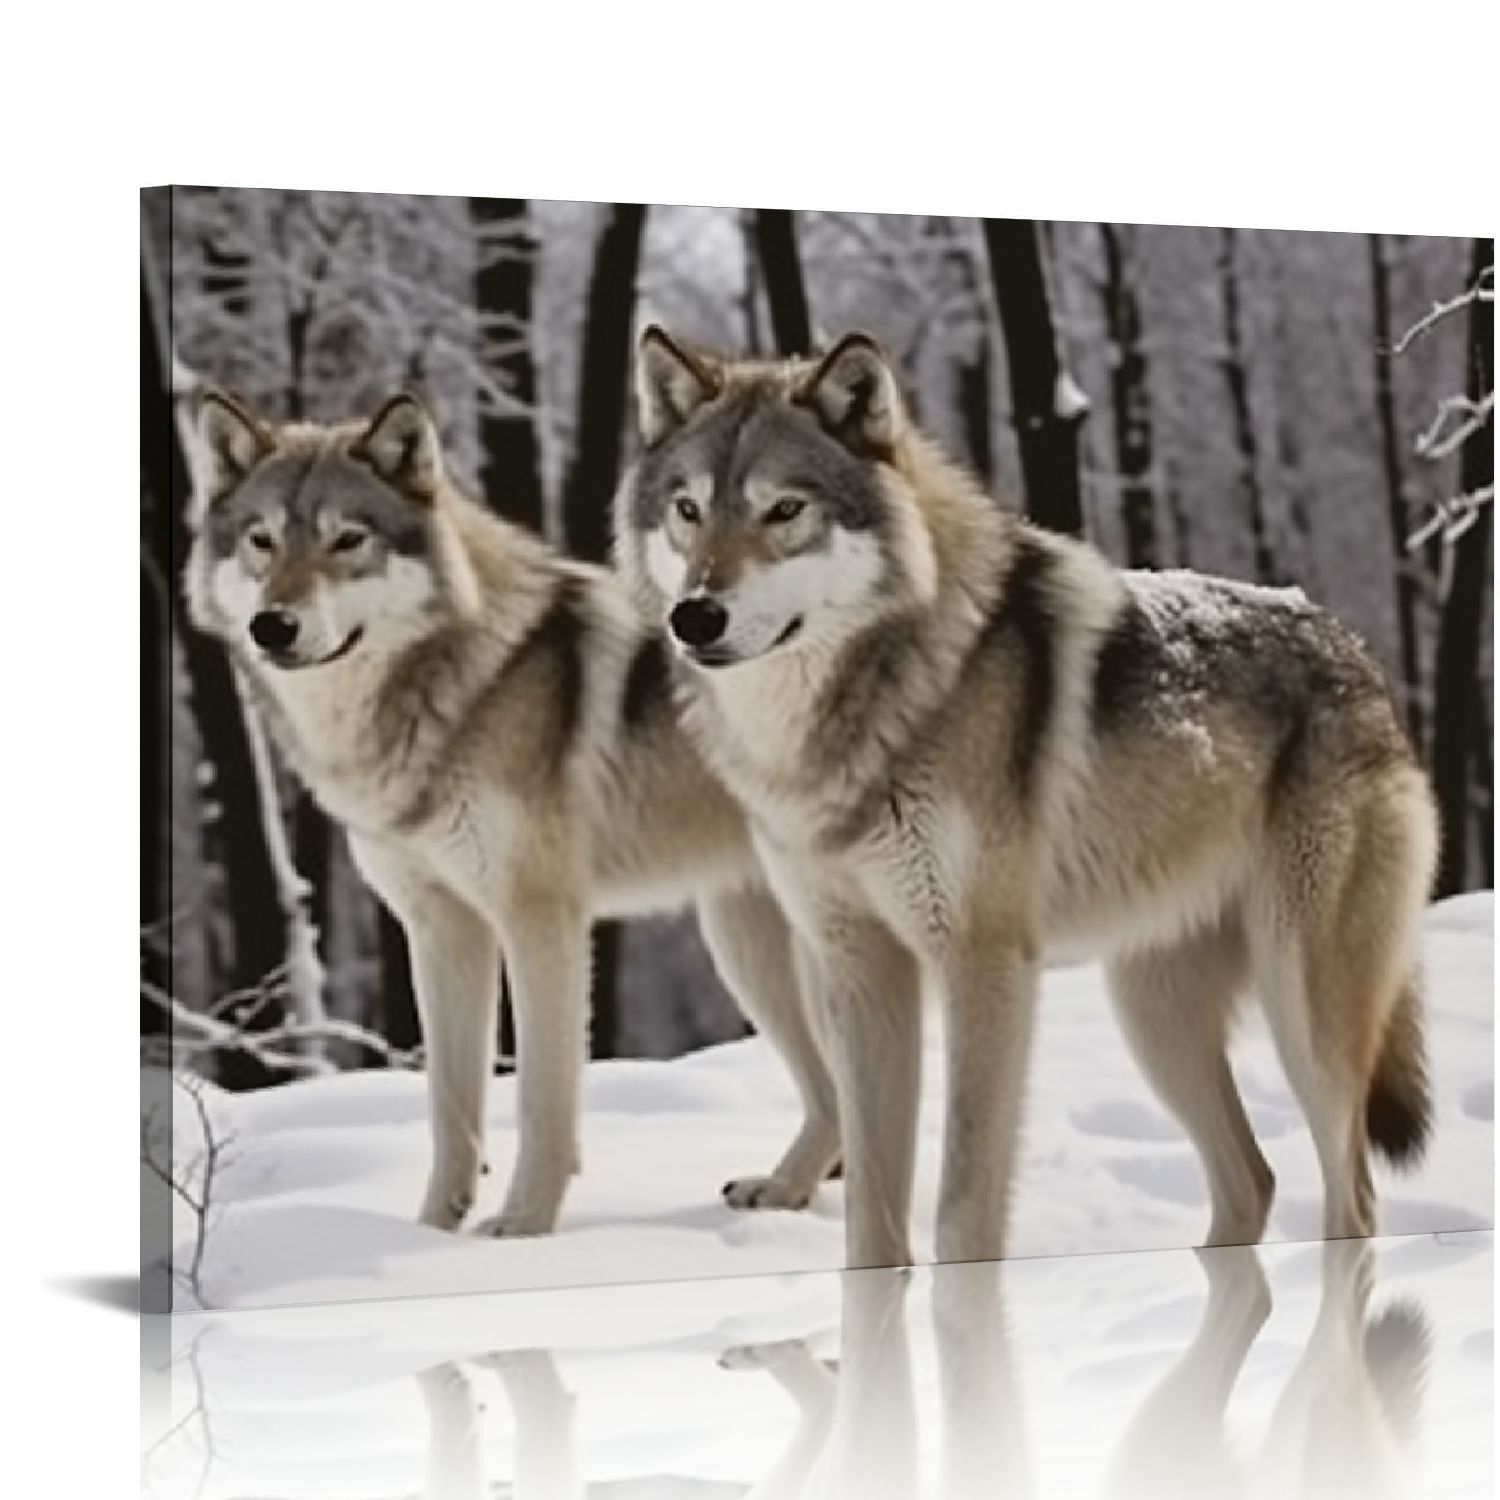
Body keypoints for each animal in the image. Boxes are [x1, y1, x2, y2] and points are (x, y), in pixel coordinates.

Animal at [183, 389, 838, 1237]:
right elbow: (451, 1108)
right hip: (744, 945)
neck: (452, 689)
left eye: (347, 539)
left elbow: (541, 1099)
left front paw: (522, 1231)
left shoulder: (540, 920)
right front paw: (434, 1235)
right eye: (262, 541)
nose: (273, 624)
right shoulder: (440, 929)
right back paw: (786, 1193)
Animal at [616, 326, 1438, 1271]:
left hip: (1305, 1018)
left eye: (784, 510)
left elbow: (964, 1199)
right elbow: (873, 1203)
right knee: (1253, 1181)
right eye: (687, 509)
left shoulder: (984, 963)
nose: (694, 616)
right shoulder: (860, 968)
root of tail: (1357, 654)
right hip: (1153, 1019)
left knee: (1354, 1194)